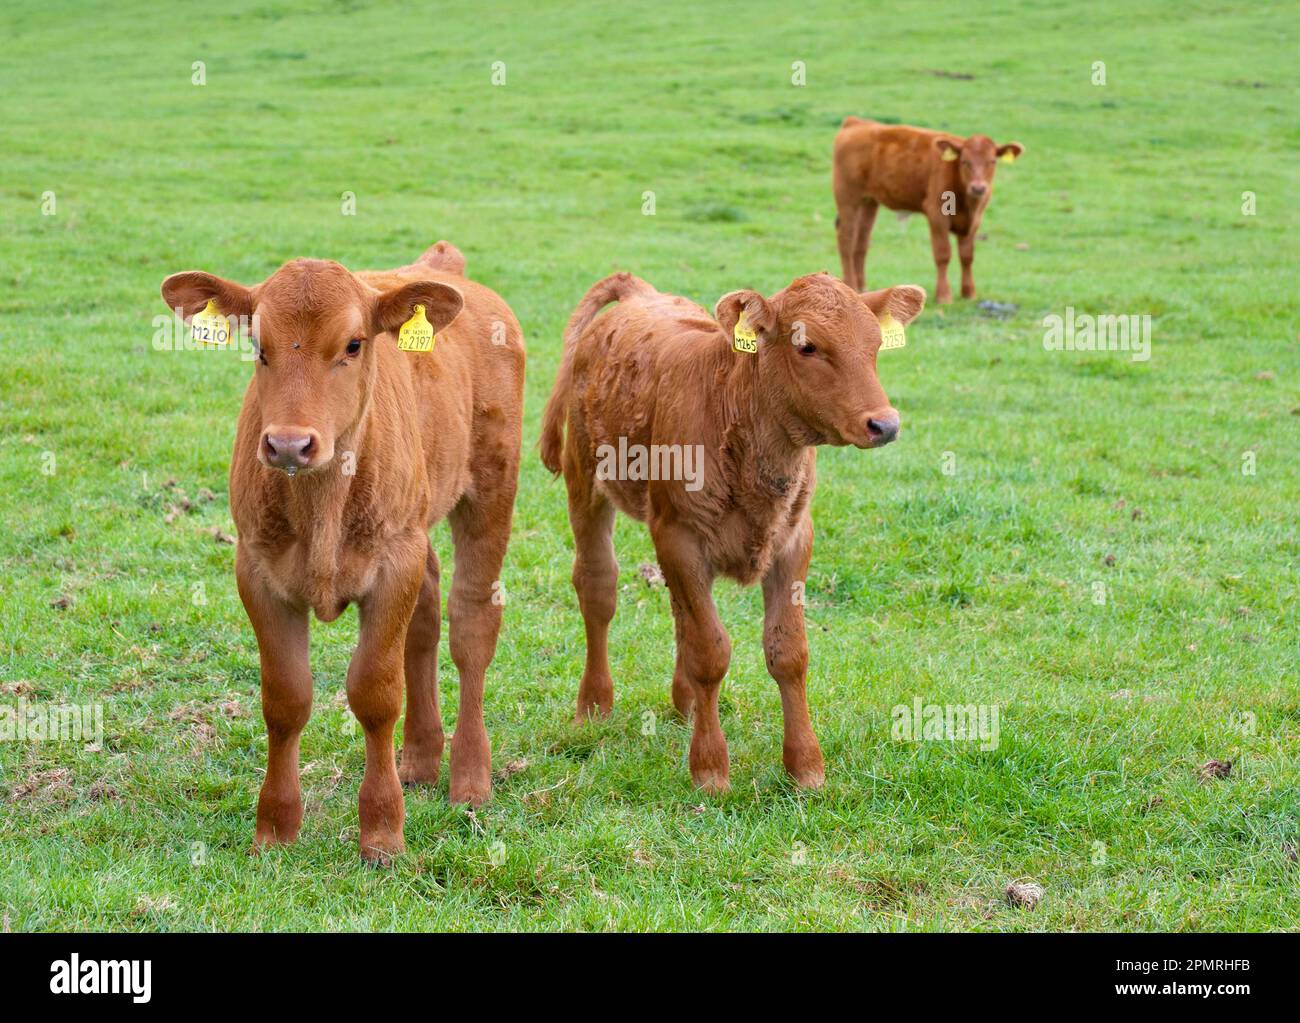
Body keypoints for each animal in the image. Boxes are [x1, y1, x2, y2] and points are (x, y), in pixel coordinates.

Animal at [160, 240, 525, 863]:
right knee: (426, 616)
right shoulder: (256, 571)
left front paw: (382, 831)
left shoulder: (393, 566)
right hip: (417, 528)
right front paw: (275, 827)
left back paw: (471, 778)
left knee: (471, 626)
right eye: (257, 345)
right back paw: (420, 759)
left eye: (353, 344)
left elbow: (375, 692)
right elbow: (285, 698)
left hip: (490, 492)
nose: (289, 443)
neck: (322, 508)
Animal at [540, 270, 924, 791]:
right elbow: (710, 651)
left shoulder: (793, 540)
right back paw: (595, 705)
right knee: (598, 589)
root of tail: (639, 291)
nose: (884, 424)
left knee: (678, 611)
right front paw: (709, 768)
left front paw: (806, 767)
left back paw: (684, 702)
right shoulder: (680, 537)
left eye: (875, 344)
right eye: (807, 346)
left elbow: (788, 652)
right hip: (585, 481)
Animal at [833, 117, 1024, 303]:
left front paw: (969, 293)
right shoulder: (936, 214)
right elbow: (943, 254)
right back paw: (850, 284)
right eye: (965, 162)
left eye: (992, 161)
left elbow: (967, 256)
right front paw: (944, 296)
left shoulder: (974, 221)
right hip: (847, 197)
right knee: (846, 240)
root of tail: (857, 122)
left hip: (869, 202)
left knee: (861, 242)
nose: (978, 188)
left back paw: (861, 288)